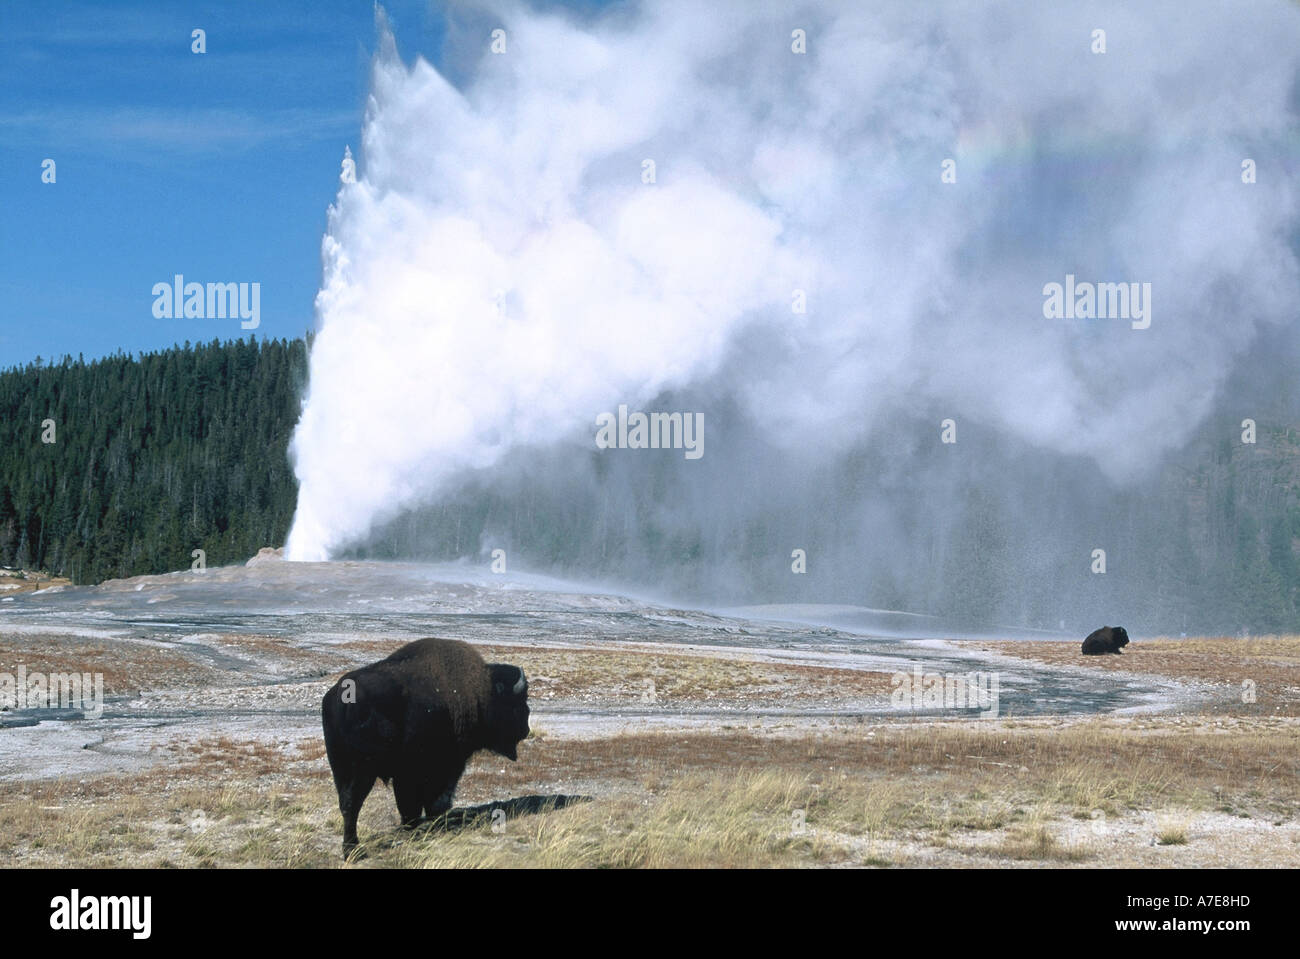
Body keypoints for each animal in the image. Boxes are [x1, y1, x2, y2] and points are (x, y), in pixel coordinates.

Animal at [321, 638, 530, 858]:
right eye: (518, 701)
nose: (526, 728)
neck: (483, 693)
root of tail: (340, 698)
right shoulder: (444, 766)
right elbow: (431, 798)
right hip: (363, 770)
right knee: (352, 804)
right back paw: (354, 850)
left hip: (340, 768)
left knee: (345, 804)